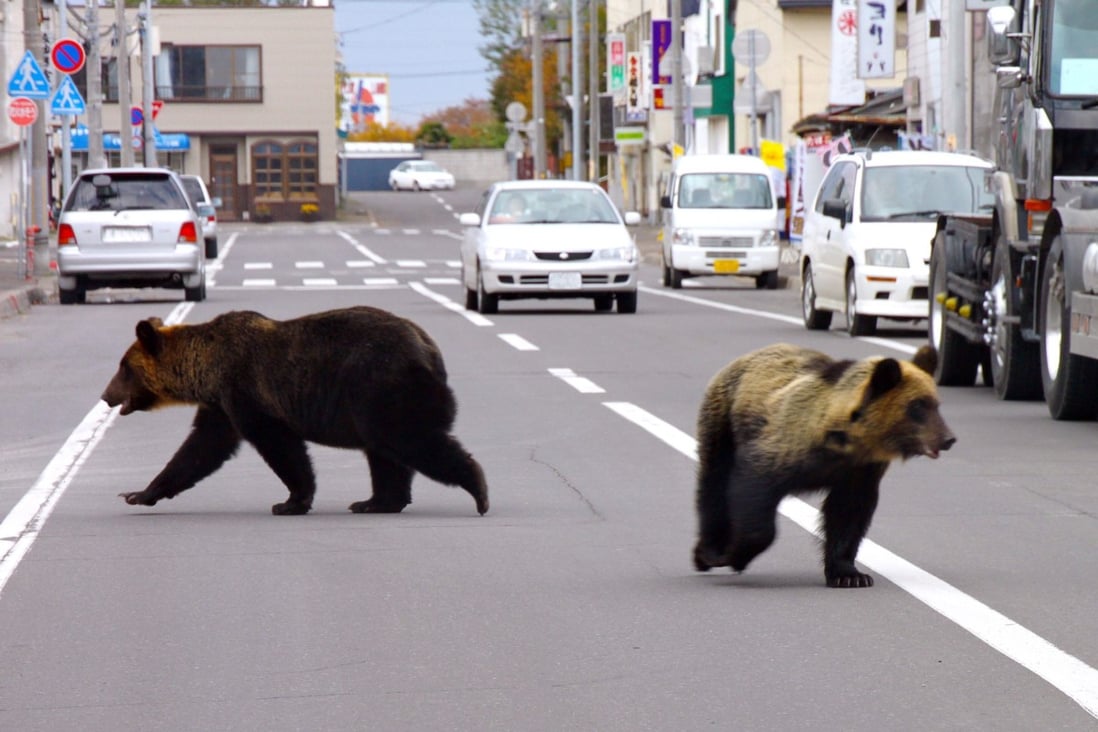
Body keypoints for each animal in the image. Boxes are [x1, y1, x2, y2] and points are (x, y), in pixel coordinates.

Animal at [101, 307, 489, 517]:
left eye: (123, 368)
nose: (106, 396)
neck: (206, 370)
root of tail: (429, 349)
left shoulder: (245, 391)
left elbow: (279, 445)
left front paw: (290, 501)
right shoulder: (221, 405)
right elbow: (200, 449)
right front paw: (138, 493)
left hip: (381, 387)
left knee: (409, 440)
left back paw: (478, 490)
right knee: (384, 453)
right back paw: (374, 501)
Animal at [692, 343, 955, 588]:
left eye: (936, 403)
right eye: (917, 405)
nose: (948, 439)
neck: (845, 441)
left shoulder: (859, 471)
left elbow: (848, 514)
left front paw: (850, 575)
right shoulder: (783, 447)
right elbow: (754, 488)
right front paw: (736, 556)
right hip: (723, 420)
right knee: (714, 481)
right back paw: (708, 552)